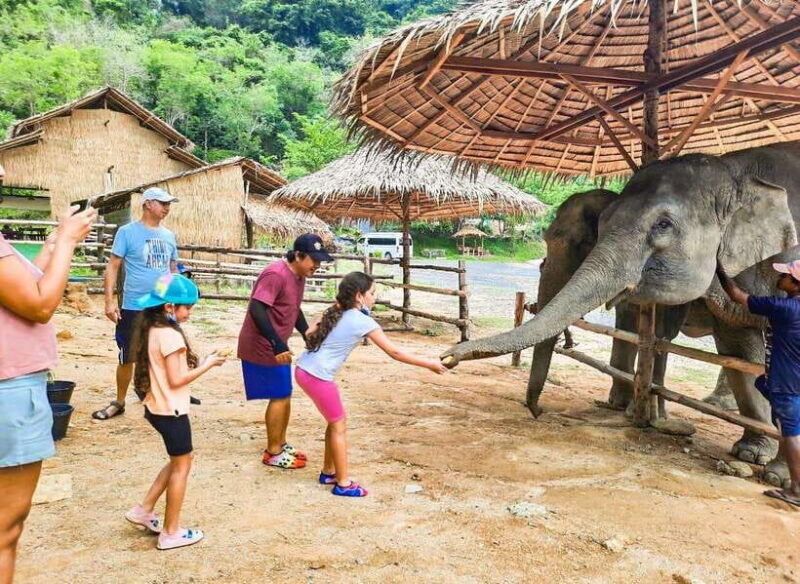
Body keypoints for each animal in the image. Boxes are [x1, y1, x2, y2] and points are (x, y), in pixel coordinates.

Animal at [444, 141, 800, 484]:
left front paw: (774, 475)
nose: (537, 411)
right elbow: (733, 341)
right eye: (602, 228)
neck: (733, 172)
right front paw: (749, 454)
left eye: (663, 225)